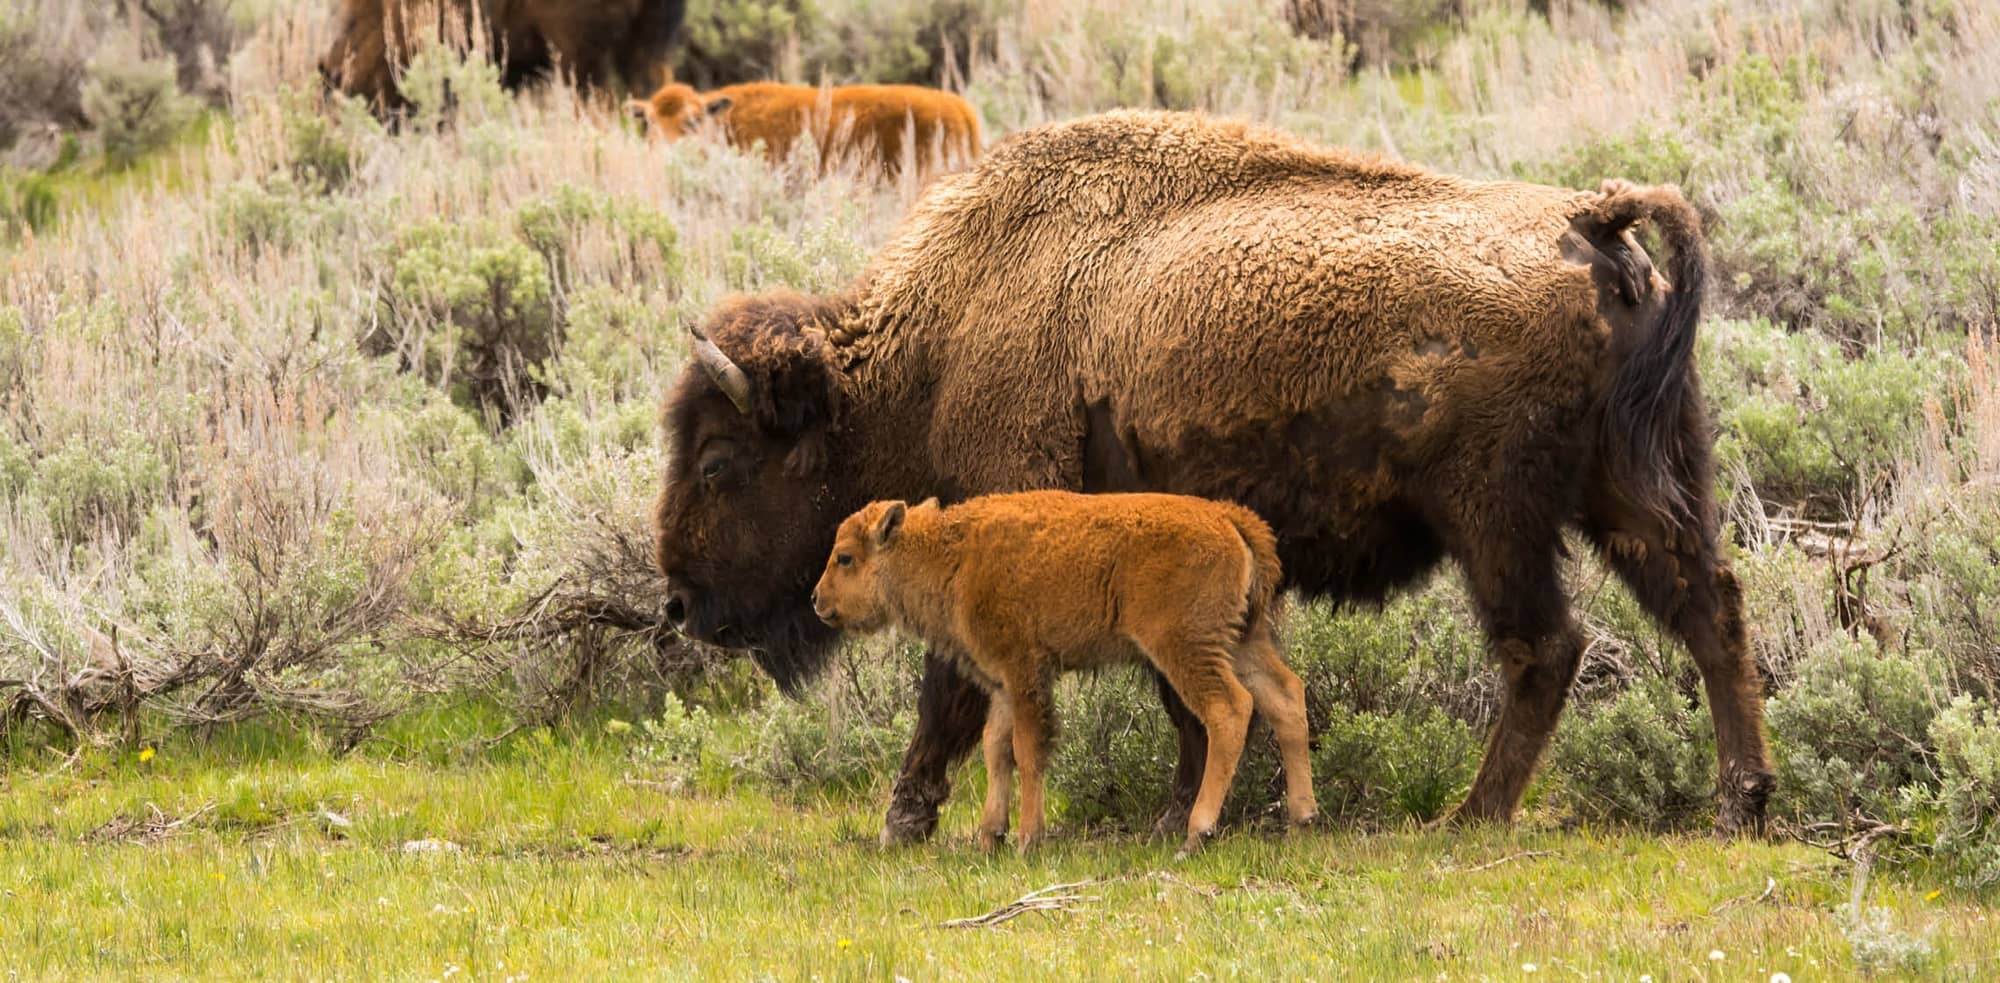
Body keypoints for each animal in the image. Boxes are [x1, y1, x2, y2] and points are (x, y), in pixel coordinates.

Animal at [654, 110, 1775, 844]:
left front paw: (903, 821)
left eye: (718, 461)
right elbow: (1177, 698)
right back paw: (1741, 801)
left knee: (1545, 643)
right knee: (1708, 607)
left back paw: (1472, 813)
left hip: (1495, 517)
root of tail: (1593, 224)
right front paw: (1174, 813)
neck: (938, 340)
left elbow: (957, 689)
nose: (678, 602)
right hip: (1637, 485)